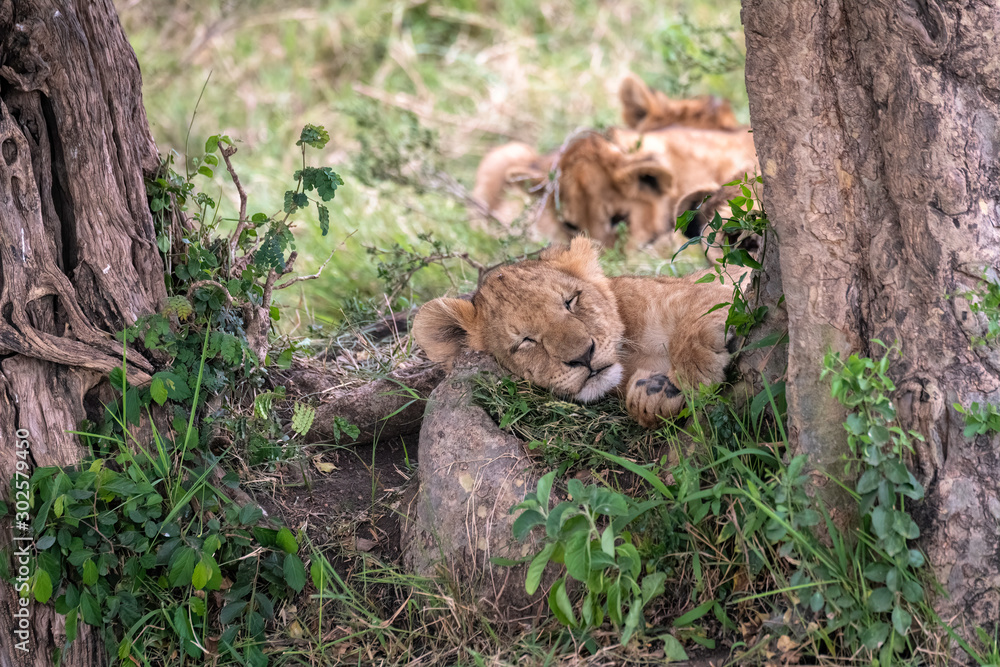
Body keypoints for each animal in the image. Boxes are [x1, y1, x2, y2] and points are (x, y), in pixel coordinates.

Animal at [413, 238, 738, 427]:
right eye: (525, 341)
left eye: (570, 301)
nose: (584, 357)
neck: (633, 355)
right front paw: (653, 394)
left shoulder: (720, 282)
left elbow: (709, 304)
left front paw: (693, 372)